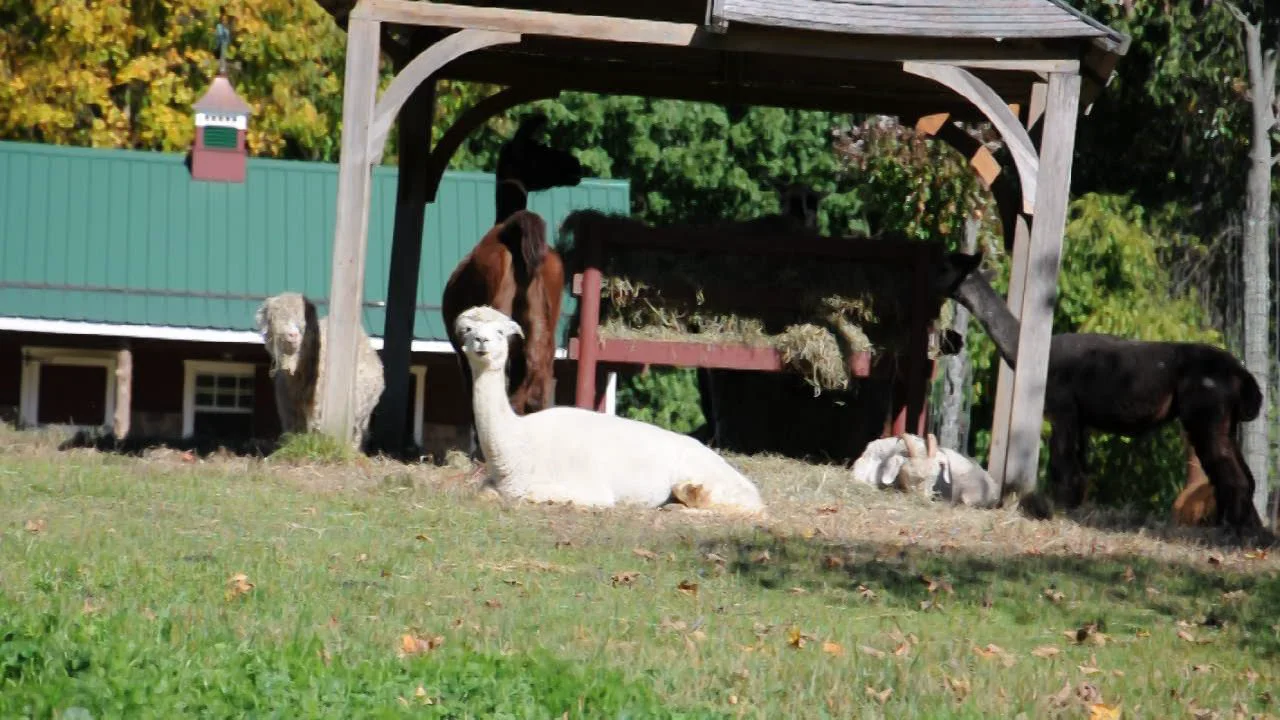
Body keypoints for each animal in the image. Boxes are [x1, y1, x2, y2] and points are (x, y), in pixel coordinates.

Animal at [255, 292, 385, 451]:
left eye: (303, 321)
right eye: (273, 318)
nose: (291, 335)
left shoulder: (320, 409)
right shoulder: (289, 410)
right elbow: (294, 433)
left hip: (361, 413)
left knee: (358, 434)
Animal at [454, 304, 766, 514]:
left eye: (500, 332)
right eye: (468, 330)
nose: (481, 341)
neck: (518, 446)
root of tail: (753, 491)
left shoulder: (587, 491)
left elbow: (528, 496)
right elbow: (484, 494)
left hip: (713, 482)